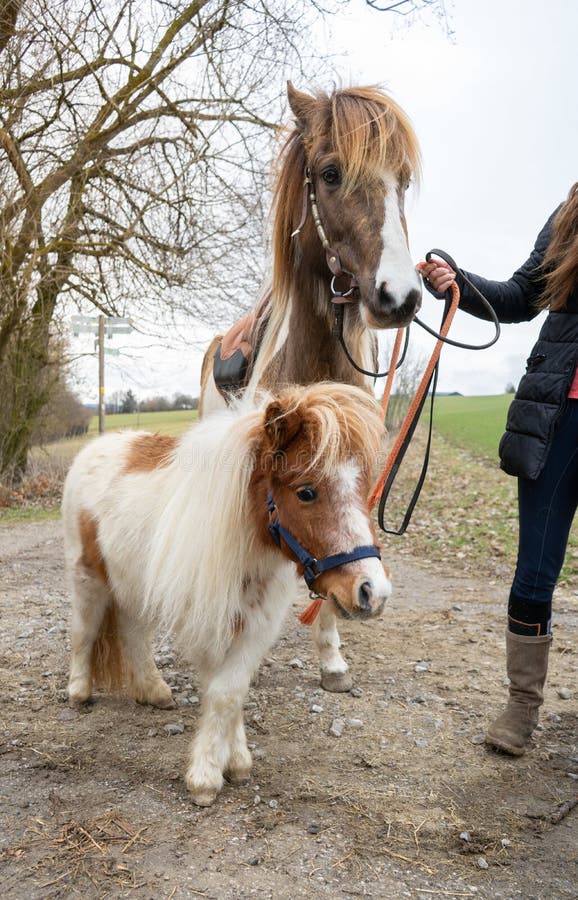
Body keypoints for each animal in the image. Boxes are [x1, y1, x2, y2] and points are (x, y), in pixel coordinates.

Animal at [62, 382, 391, 807]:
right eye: (306, 492)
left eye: (363, 489)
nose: (372, 591)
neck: (242, 539)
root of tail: (97, 447)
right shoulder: (209, 623)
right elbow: (220, 693)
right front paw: (205, 777)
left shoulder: (255, 625)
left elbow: (234, 690)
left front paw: (235, 761)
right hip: (87, 579)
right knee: (83, 632)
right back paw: (79, 692)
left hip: (132, 586)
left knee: (132, 633)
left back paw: (154, 691)